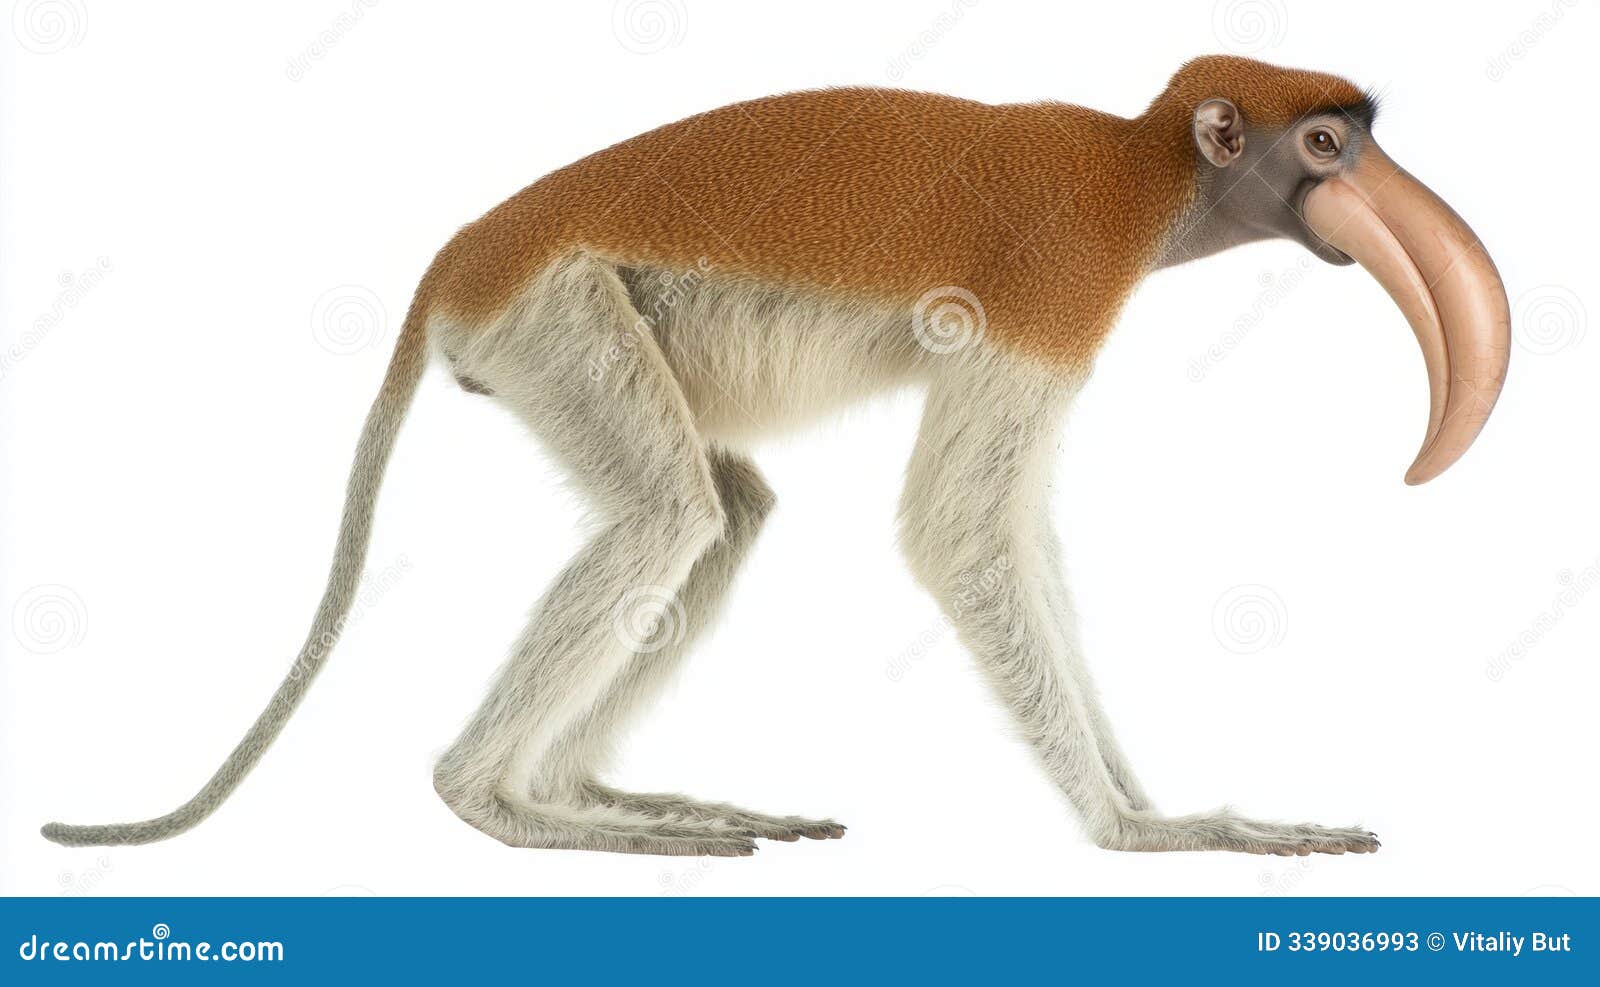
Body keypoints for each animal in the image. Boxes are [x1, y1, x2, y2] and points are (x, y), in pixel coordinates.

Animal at [42, 55, 1510, 857]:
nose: (1369, 187)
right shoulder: (1057, 277)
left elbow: (1009, 534)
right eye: (1326, 144)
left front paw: (1150, 794)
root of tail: (460, 261)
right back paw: (498, 803)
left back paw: (583, 791)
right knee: (671, 512)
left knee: (725, 509)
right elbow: (958, 536)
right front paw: (1142, 829)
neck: (1140, 169)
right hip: (557, 312)